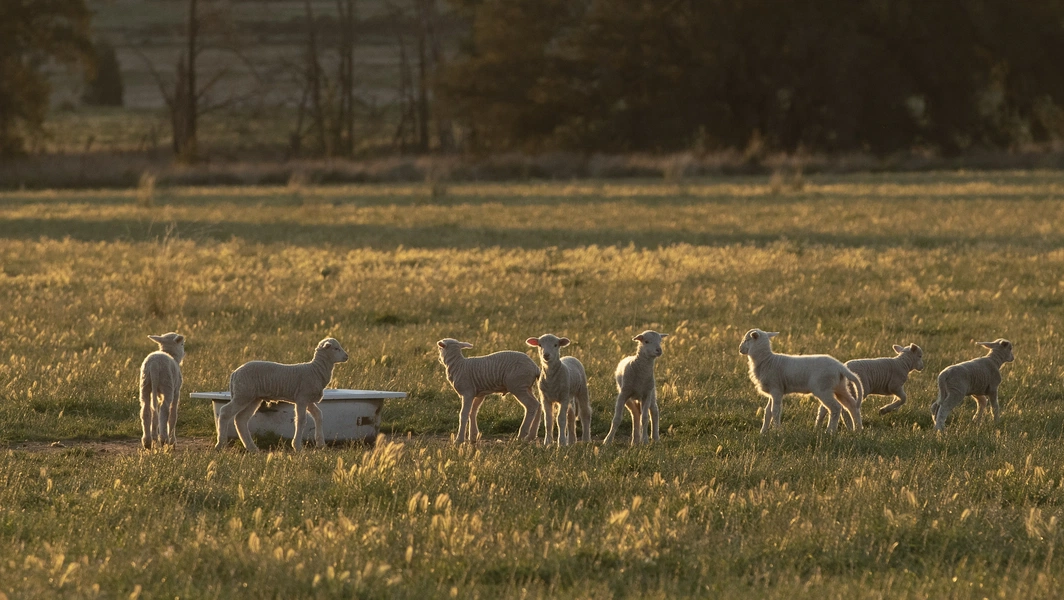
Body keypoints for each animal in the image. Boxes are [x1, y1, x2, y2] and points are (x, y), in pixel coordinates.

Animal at [215, 337, 349, 452]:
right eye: (336, 348)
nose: (347, 356)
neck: (315, 370)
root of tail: (235, 373)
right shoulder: (302, 398)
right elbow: (301, 420)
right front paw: (297, 446)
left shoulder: (308, 400)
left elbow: (318, 415)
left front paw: (321, 444)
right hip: (243, 394)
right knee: (225, 412)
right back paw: (220, 444)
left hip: (253, 398)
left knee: (241, 419)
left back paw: (252, 448)